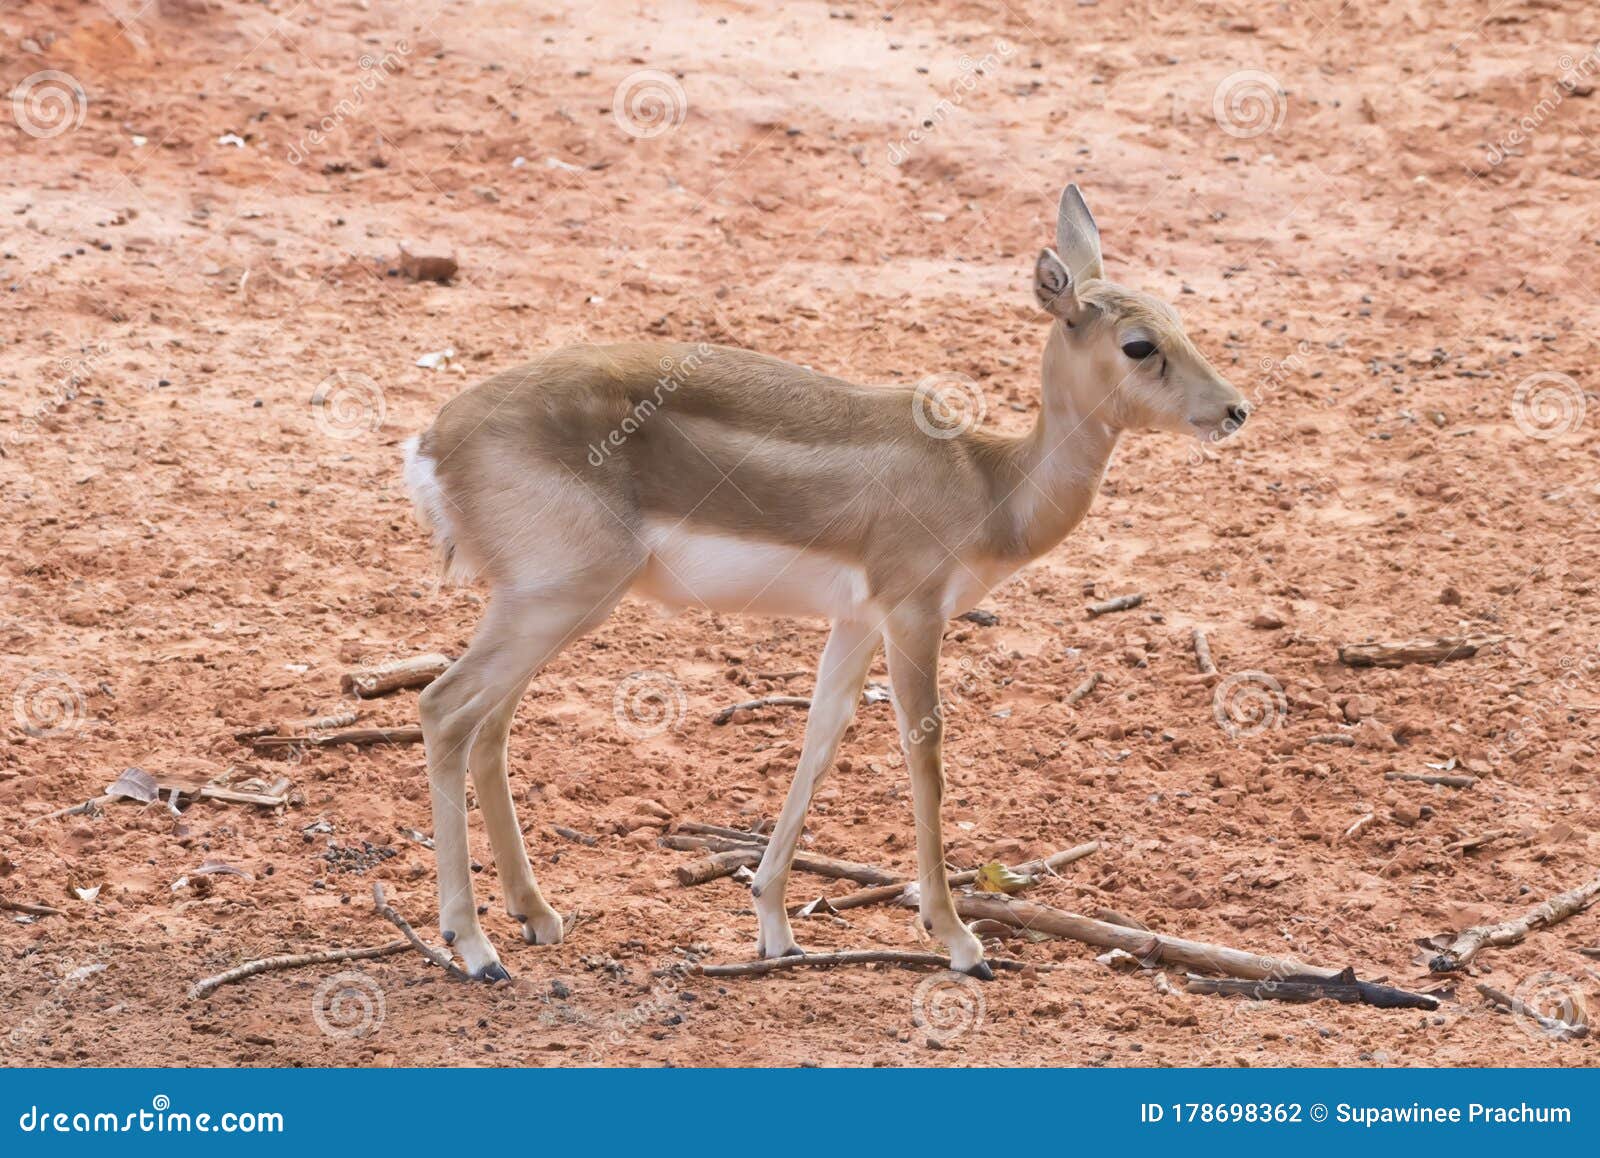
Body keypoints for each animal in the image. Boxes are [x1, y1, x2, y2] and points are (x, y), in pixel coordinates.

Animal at [403, 184, 1248, 981]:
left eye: (1180, 321)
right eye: (1138, 344)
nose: (1235, 410)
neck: (988, 483)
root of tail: (434, 442)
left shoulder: (857, 622)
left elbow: (821, 736)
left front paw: (775, 927)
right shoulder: (913, 614)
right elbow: (925, 755)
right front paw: (959, 940)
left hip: (550, 607)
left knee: (488, 727)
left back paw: (536, 915)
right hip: (559, 601)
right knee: (444, 709)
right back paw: (474, 946)